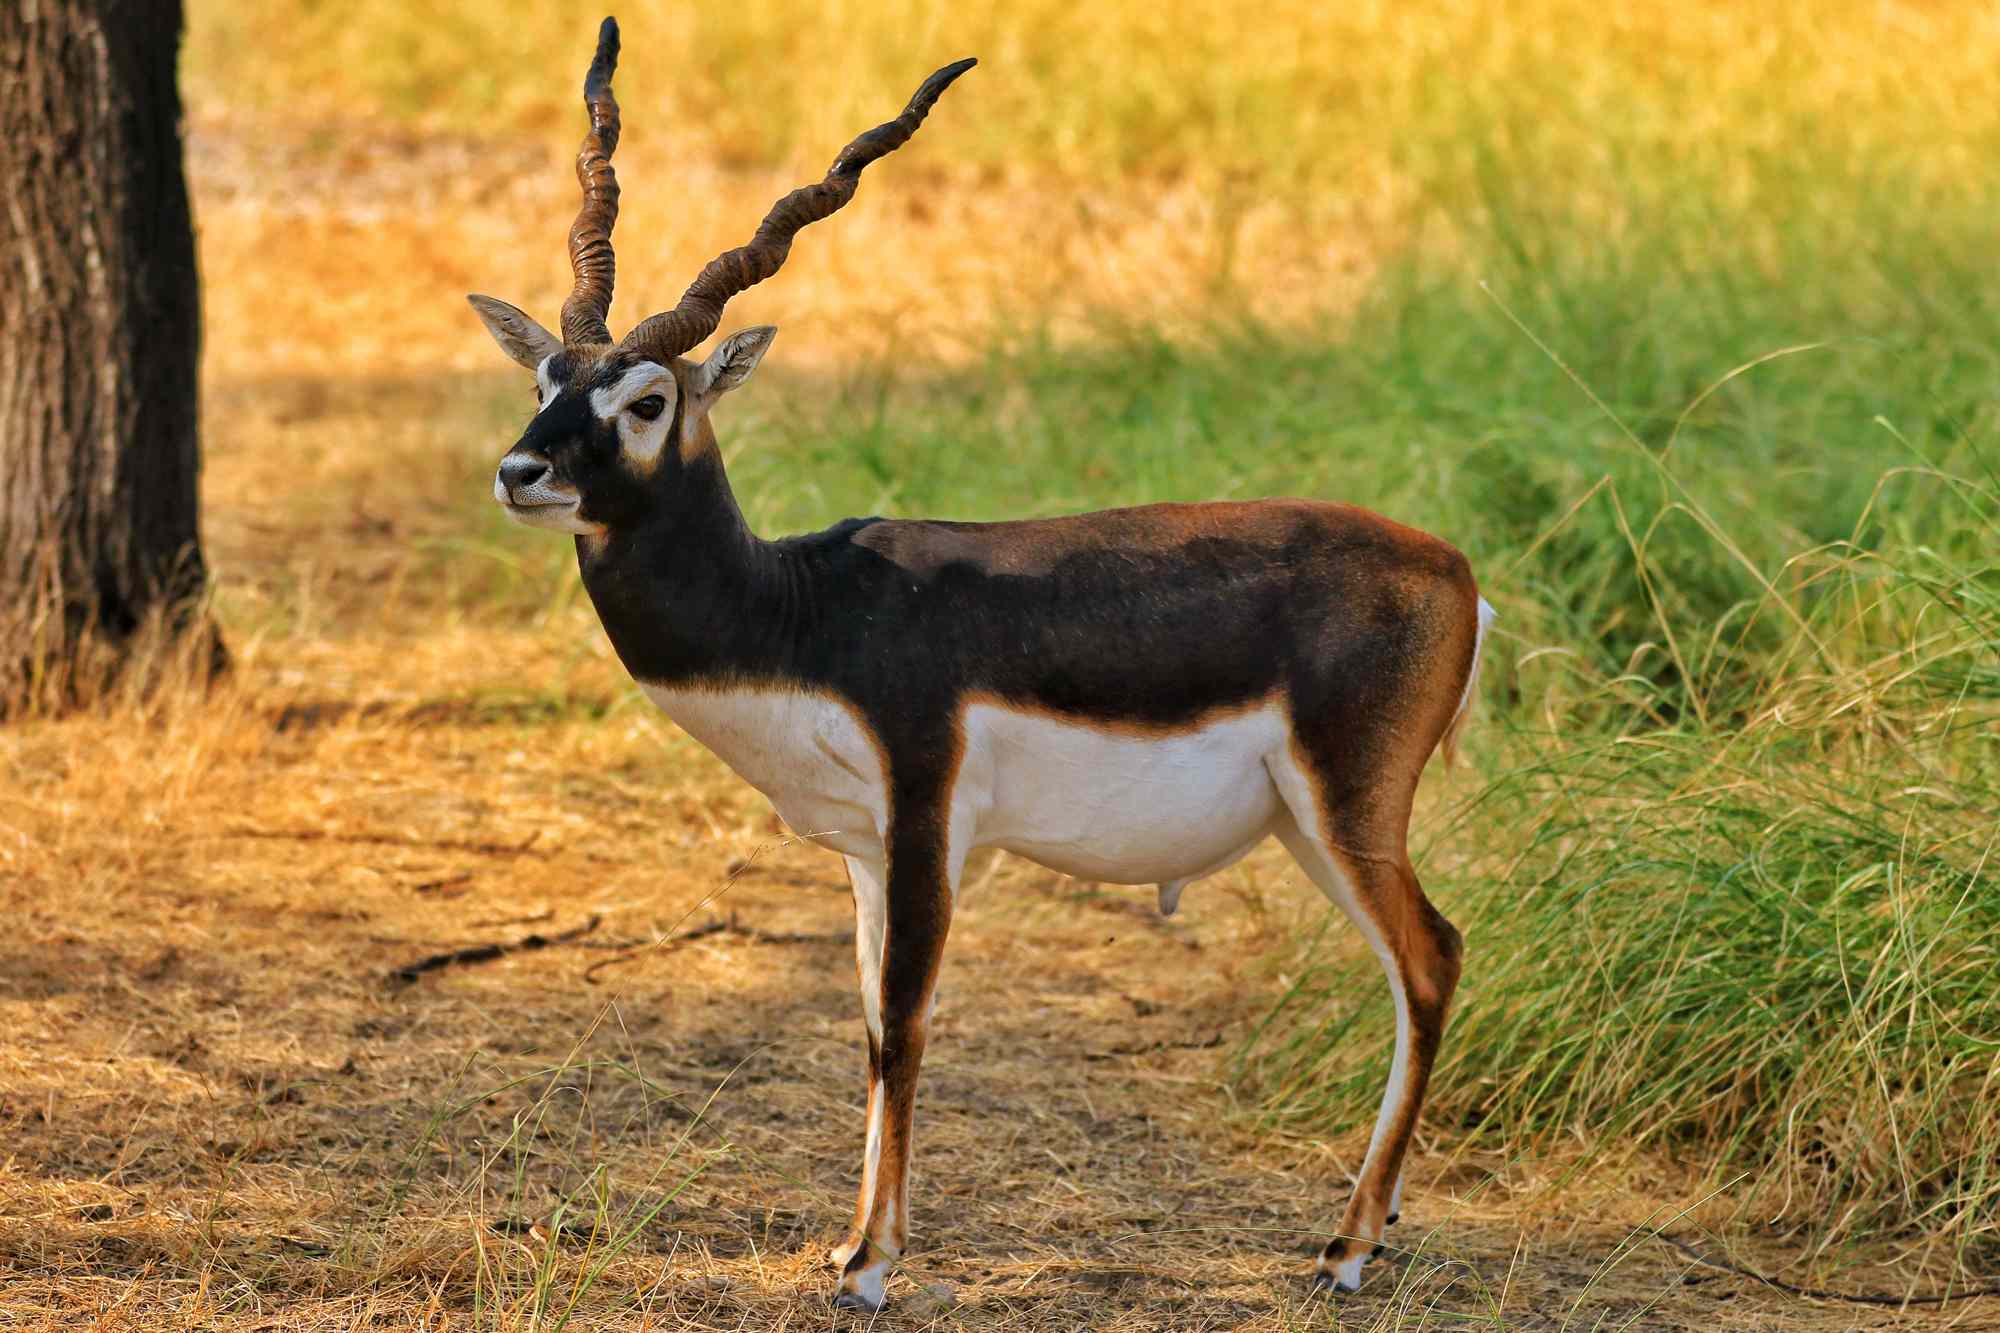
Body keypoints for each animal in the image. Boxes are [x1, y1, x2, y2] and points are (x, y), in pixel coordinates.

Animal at [468, 18, 1494, 1312]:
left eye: (648, 398)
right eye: (545, 380)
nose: (519, 472)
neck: (802, 610)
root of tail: (1453, 568)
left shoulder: (926, 820)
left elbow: (903, 1026)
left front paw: (869, 1266)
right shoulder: (861, 852)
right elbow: (868, 1028)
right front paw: (851, 1244)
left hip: (1348, 806)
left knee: (1431, 960)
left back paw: (1348, 1247)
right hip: (1304, 823)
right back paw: (1374, 1222)